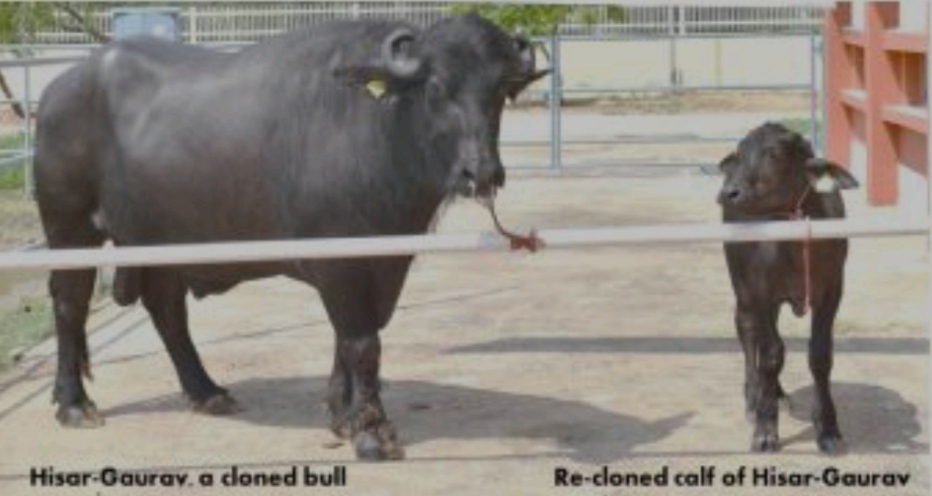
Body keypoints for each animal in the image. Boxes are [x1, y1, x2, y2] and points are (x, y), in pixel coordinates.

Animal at [34, 14, 548, 461]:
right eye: (437, 87)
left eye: (499, 90)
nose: (481, 173)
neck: (375, 130)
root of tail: (60, 88)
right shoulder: (340, 264)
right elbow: (363, 343)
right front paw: (371, 431)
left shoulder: (384, 263)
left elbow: (349, 338)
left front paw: (342, 414)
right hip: (69, 227)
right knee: (69, 304)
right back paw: (75, 404)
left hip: (162, 238)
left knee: (166, 308)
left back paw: (207, 391)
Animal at [718, 122, 859, 454]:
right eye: (740, 152)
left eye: (776, 153)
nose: (729, 193)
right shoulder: (759, 291)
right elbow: (771, 355)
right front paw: (765, 429)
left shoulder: (833, 290)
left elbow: (820, 355)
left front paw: (828, 429)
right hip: (741, 284)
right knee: (747, 332)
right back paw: (754, 397)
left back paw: (777, 393)